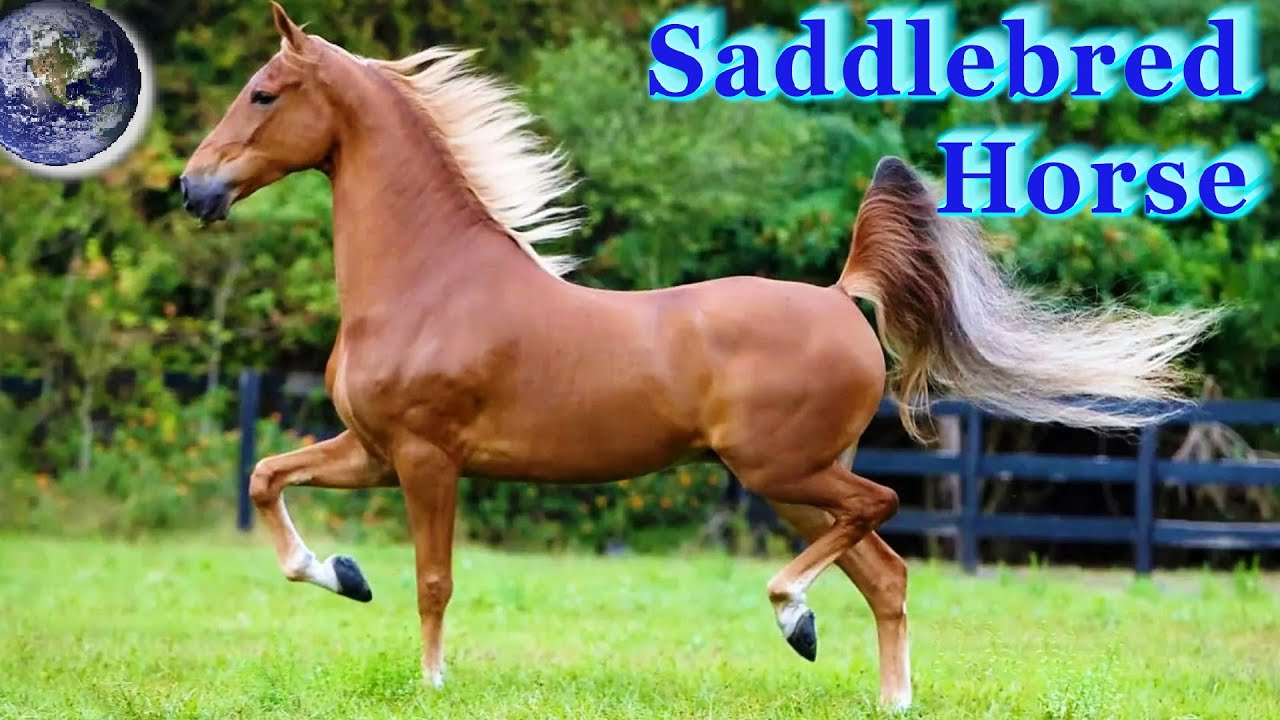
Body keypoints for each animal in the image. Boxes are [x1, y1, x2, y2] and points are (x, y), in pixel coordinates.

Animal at [179, 2, 1221, 709]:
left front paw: (431, 682)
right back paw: (882, 690)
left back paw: (793, 614)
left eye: (264, 93)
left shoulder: (427, 458)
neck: (428, 280)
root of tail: (842, 294)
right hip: (796, 482)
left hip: (782, 470)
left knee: (877, 515)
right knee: (887, 572)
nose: (194, 190)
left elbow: (434, 580)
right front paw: (341, 573)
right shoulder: (370, 450)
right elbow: (268, 479)